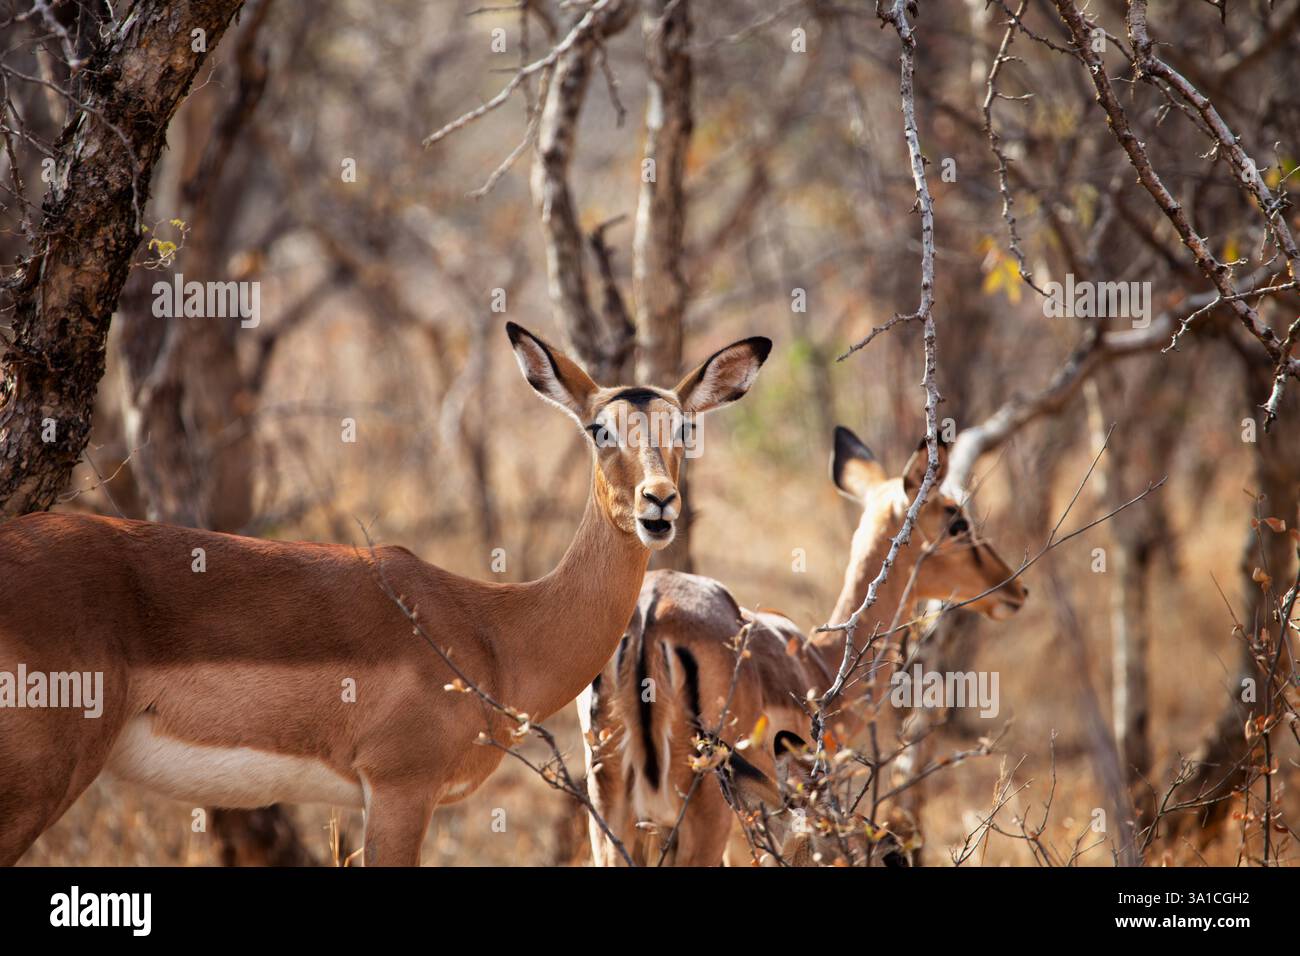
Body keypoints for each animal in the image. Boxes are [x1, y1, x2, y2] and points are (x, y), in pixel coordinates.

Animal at [580, 426, 1028, 866]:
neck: (820, 661)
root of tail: (650, 613)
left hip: (612, 816)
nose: (1015, 589)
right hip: (704, 820)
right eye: (957, 522)